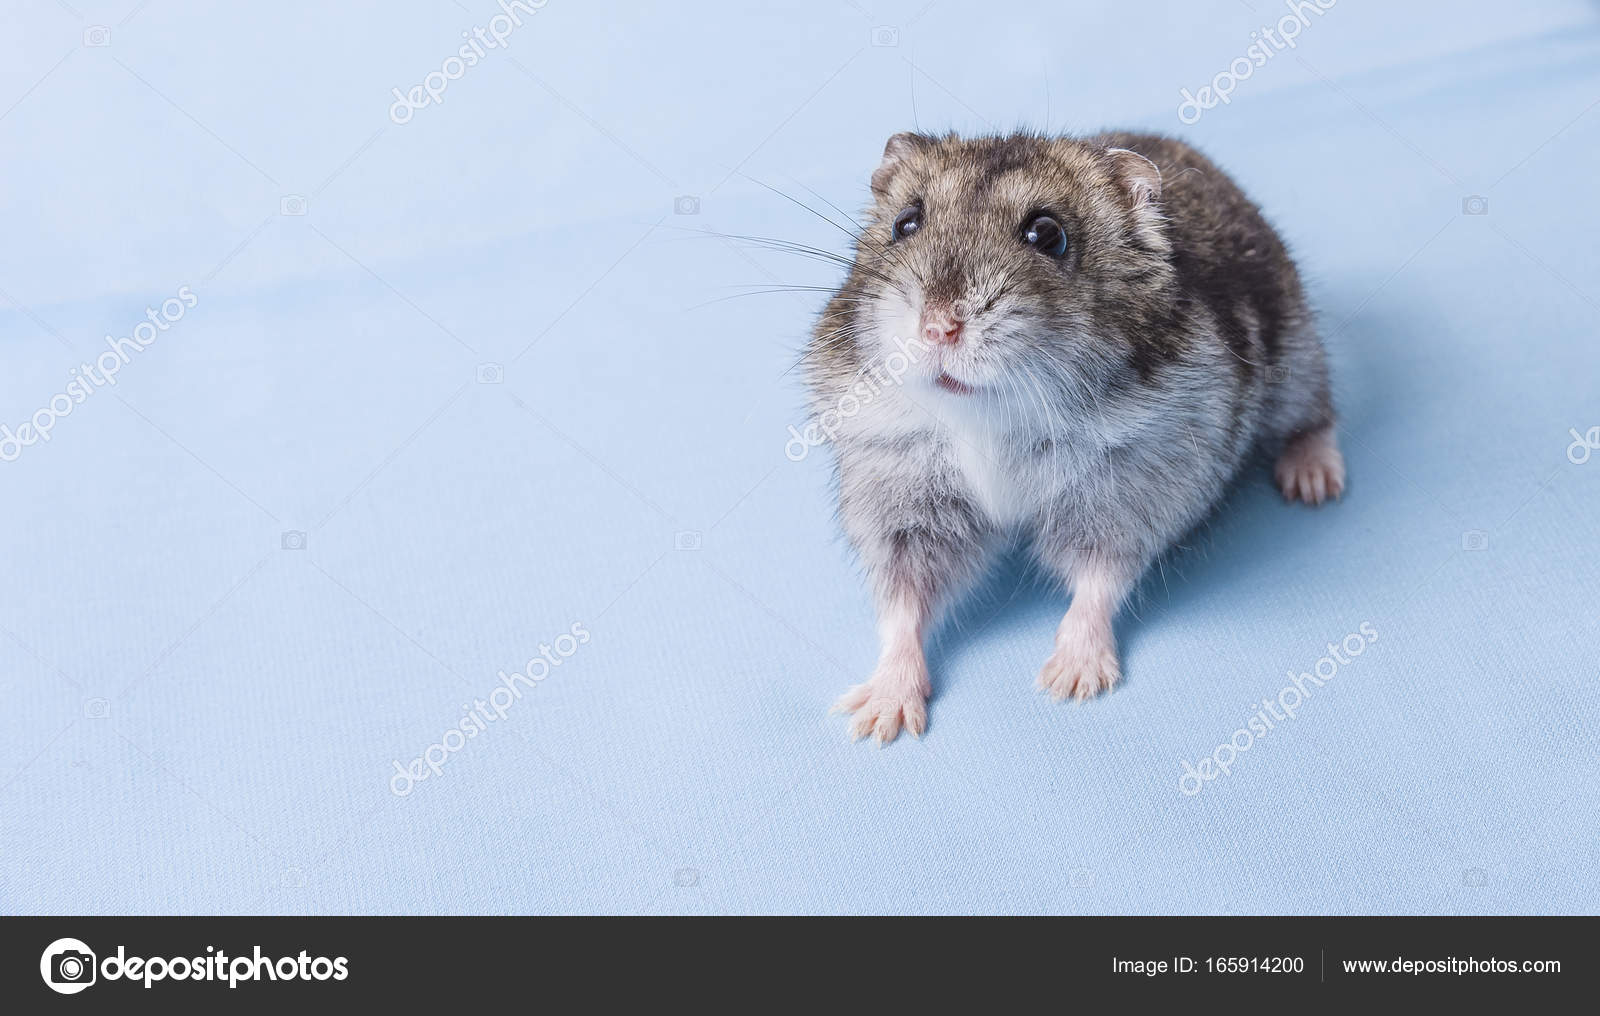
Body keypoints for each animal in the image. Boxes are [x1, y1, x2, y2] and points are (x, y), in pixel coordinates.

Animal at [809, 131, 1345, 743]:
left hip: (1297, 359)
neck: (988, 415)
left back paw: (1314, 483)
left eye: (1048, 235)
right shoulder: (900, 497)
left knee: (1317, 414)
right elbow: (903, 604)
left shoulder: (1128, 489)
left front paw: (1069, 683)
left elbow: (1099, 579)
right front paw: (879, 720)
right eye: (905, 223)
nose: (938, 328)